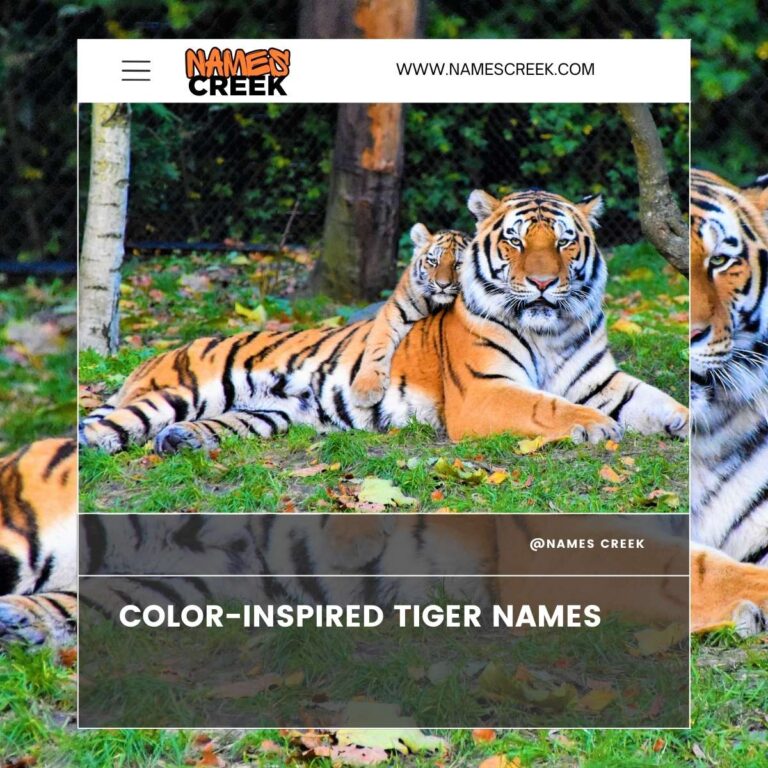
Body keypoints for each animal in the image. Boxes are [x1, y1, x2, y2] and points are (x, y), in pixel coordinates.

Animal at [350, 224, 469, 407]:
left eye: (458, 264)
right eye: (433, 261)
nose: (442, 285)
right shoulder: (393, 312)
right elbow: (377, 346)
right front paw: (365, 390)